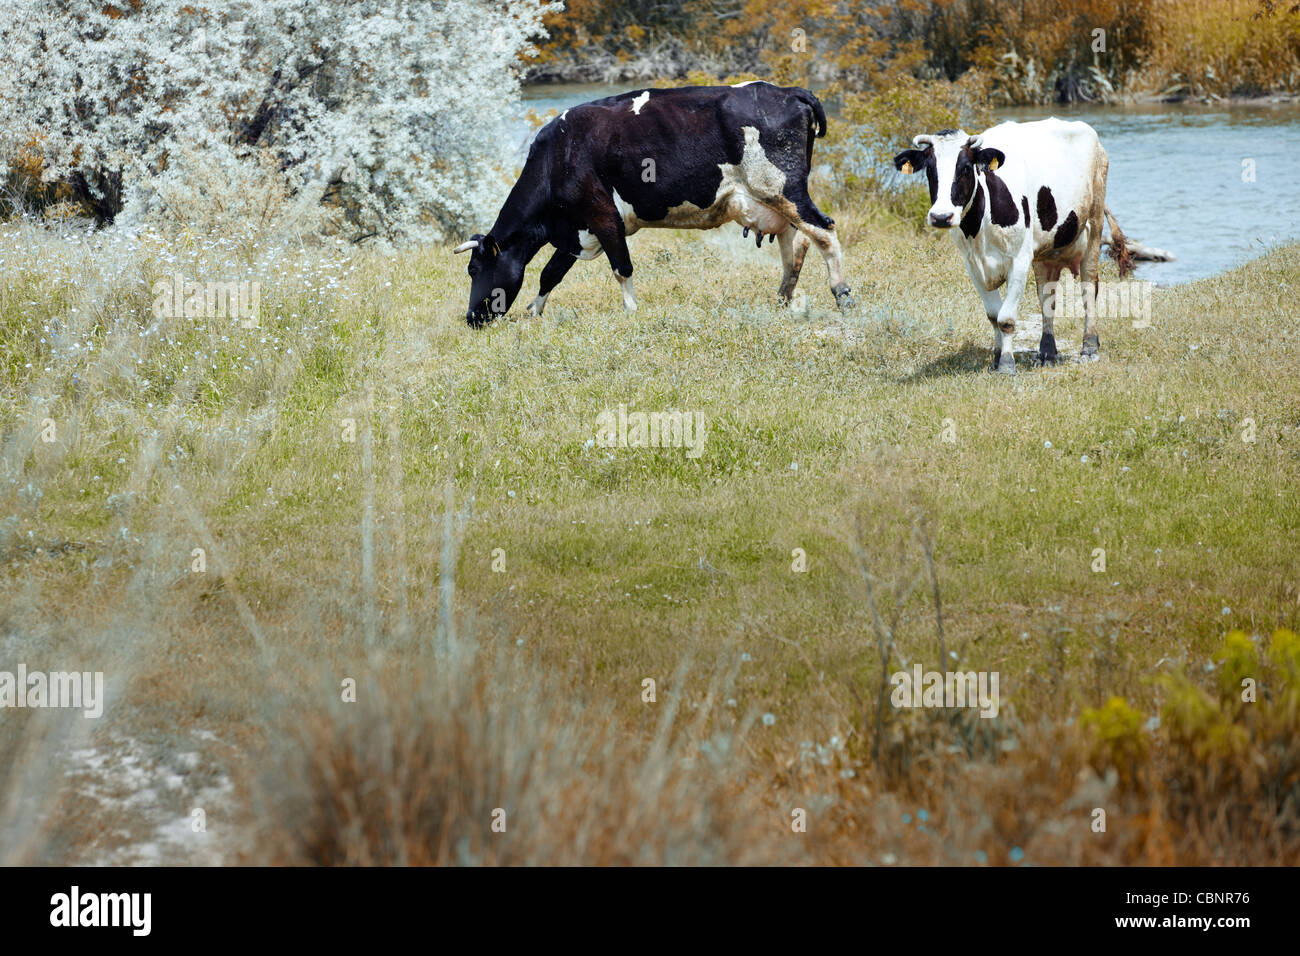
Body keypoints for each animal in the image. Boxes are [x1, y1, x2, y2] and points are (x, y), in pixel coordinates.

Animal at [455, 82, 854, 326]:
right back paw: (784, 298)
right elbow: (549, 274)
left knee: (823, 231)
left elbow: (622, 267)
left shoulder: (603, 215)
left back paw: (843, 295)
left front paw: (631, 311)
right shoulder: (575, 229)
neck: (559, 156)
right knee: (795, 243)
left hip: (782, 188)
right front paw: (534, 311)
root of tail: (788, 91)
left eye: (474, 270)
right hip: (773, 199)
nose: (471, 318)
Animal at [892, 118, 1138, 374]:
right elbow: (993, 315)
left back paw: (1089, 348)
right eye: (930, 170)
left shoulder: (1019, 260)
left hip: (1094, 223)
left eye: (966, 168)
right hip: (1045, 251)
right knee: (1046, 296)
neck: (979, 230)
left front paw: (1007, 365)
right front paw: (996, 358)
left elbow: (1006, 319)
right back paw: (1047, 353)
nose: (941, 216)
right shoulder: (973, 265)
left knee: (1089, 288)